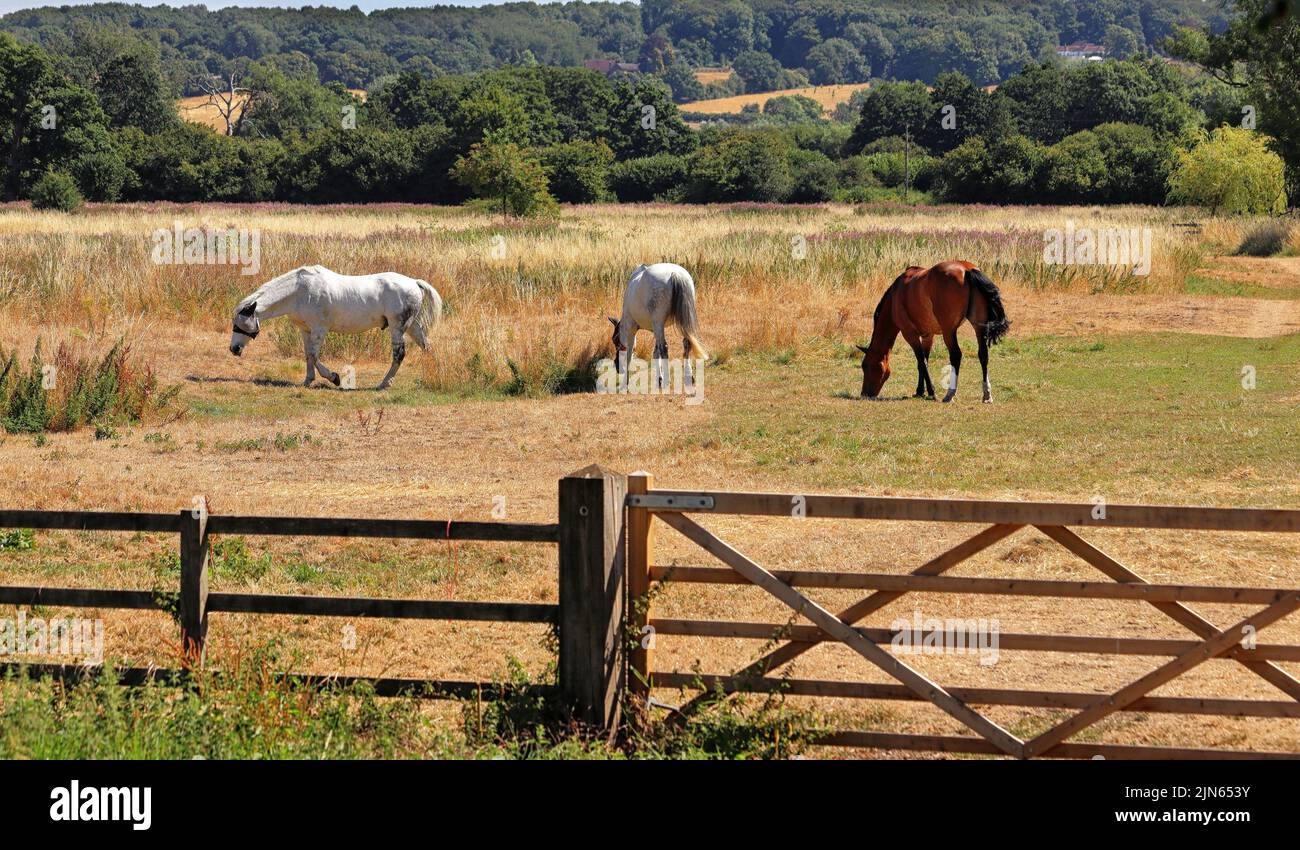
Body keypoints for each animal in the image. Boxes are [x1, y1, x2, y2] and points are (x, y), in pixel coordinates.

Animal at [229, 265, 442, 390]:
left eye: (239, 324)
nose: (234, 349)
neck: (299, 291)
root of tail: (414, 282)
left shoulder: (319, 330)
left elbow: (314, 356)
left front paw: (334, 377)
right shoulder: (305, 330)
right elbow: (307, 355)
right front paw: (308, 380)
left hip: (397, 327)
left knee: (399, 355)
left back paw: (384, 383)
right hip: (412, 326)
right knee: (427, 346)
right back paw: (432, 375)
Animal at [858, 260, 1010, 403]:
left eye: (865, 366)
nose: (864, 394)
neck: (896, 295)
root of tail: (967, 269)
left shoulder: (910, 334)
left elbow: (922, 361)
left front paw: (930, 392)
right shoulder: (927, 336)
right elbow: (922, 361)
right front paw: (920, 391)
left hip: (949, 331)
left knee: (956, 355)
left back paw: (950, 394)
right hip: (979, 327)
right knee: (983, 354)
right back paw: (987, 395)